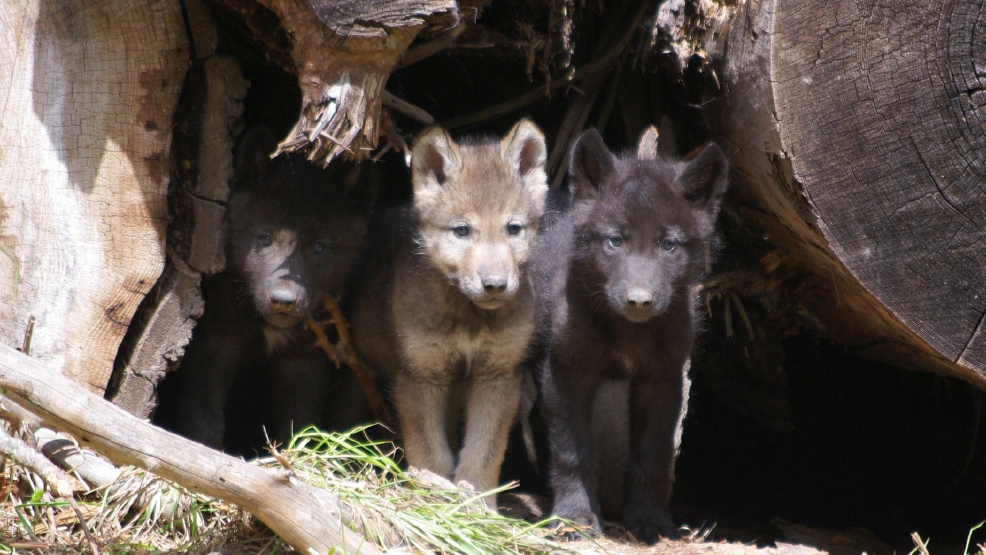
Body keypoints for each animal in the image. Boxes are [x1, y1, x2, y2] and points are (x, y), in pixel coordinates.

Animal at [157, 126, 377, 453]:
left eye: (320, 247)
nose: (283, 301)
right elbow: (204, 412)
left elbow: (299, 420)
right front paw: (203, 449)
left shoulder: (305, 358)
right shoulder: (215, 338)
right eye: (264, 239)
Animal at [348, 120, 548, 507]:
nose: (495, 284)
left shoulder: (498, 376)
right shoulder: (420, 376)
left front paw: (476, 503)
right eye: (462, 230)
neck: (468, 320)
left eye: (513, 229)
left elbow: (484, 452)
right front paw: (433, 497)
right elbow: (430, 454)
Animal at [534, 126, 728, 543]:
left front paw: (650, 520)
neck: (627, 331)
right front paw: (575, 518)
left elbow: (651, 457)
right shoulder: (566, 370)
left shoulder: (662, 378)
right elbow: (572, 453)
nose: (639, 301)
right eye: (615, 241)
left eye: (668, 244)